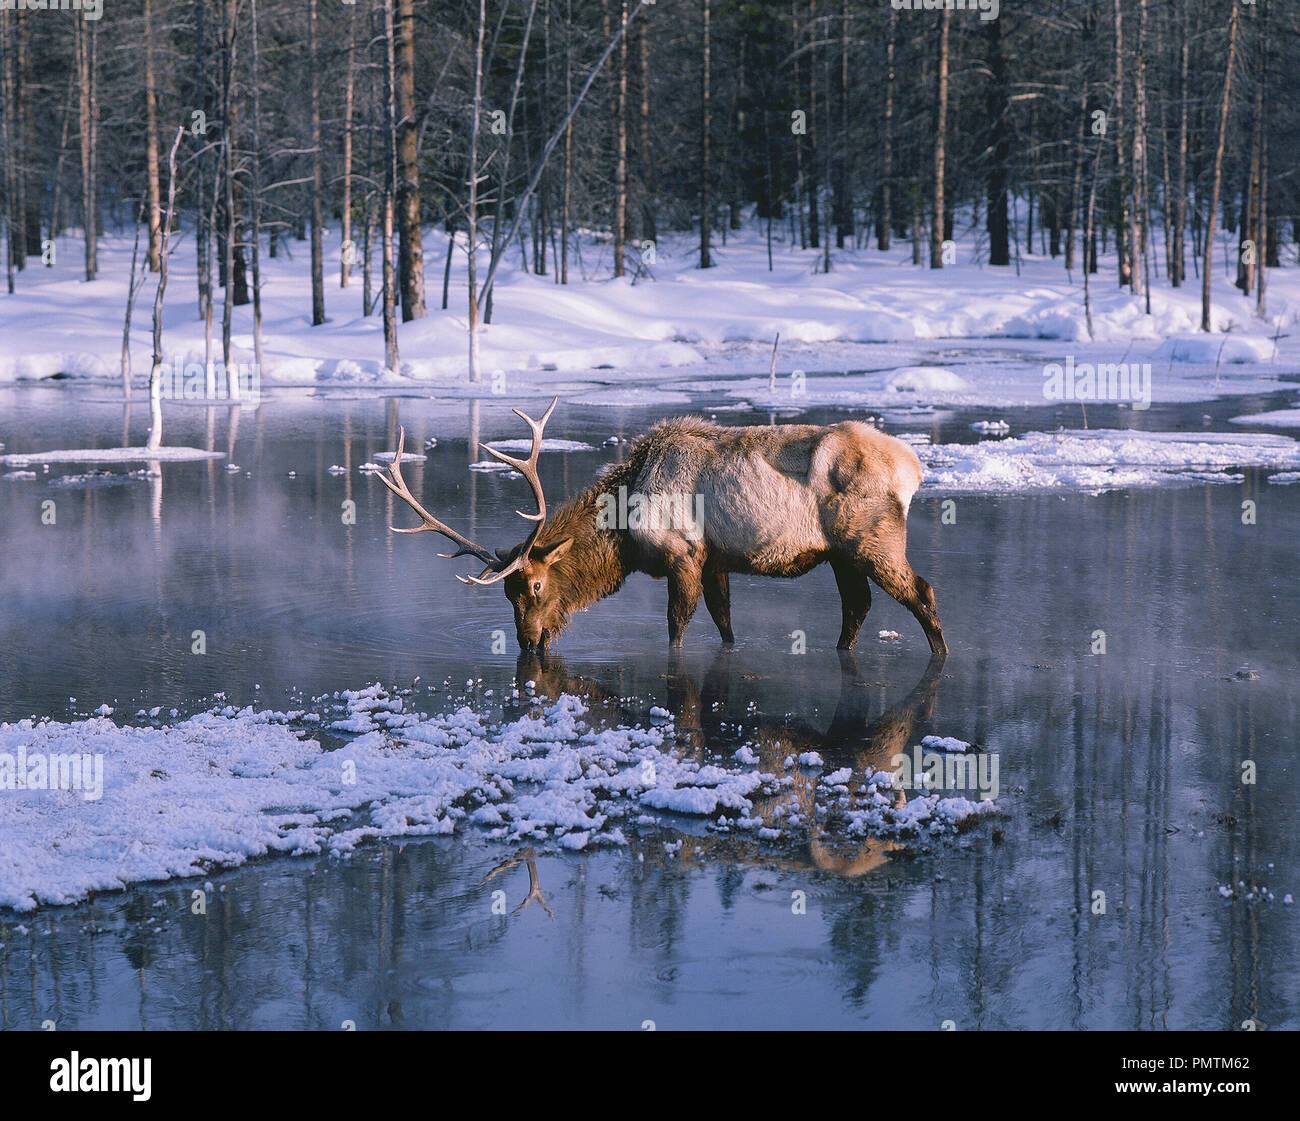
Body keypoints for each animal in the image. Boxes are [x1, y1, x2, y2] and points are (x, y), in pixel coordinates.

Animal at [376, 398, 947, 655]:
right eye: (506, 592)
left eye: (535, 585)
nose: (529, 643)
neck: (624, 534)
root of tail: (914, 467)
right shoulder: (716, 560)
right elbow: (724, 621)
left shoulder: (683, 554)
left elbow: (676, 626)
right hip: (840, 553)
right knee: (858, 606)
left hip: (871, 538)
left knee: (921, 591)